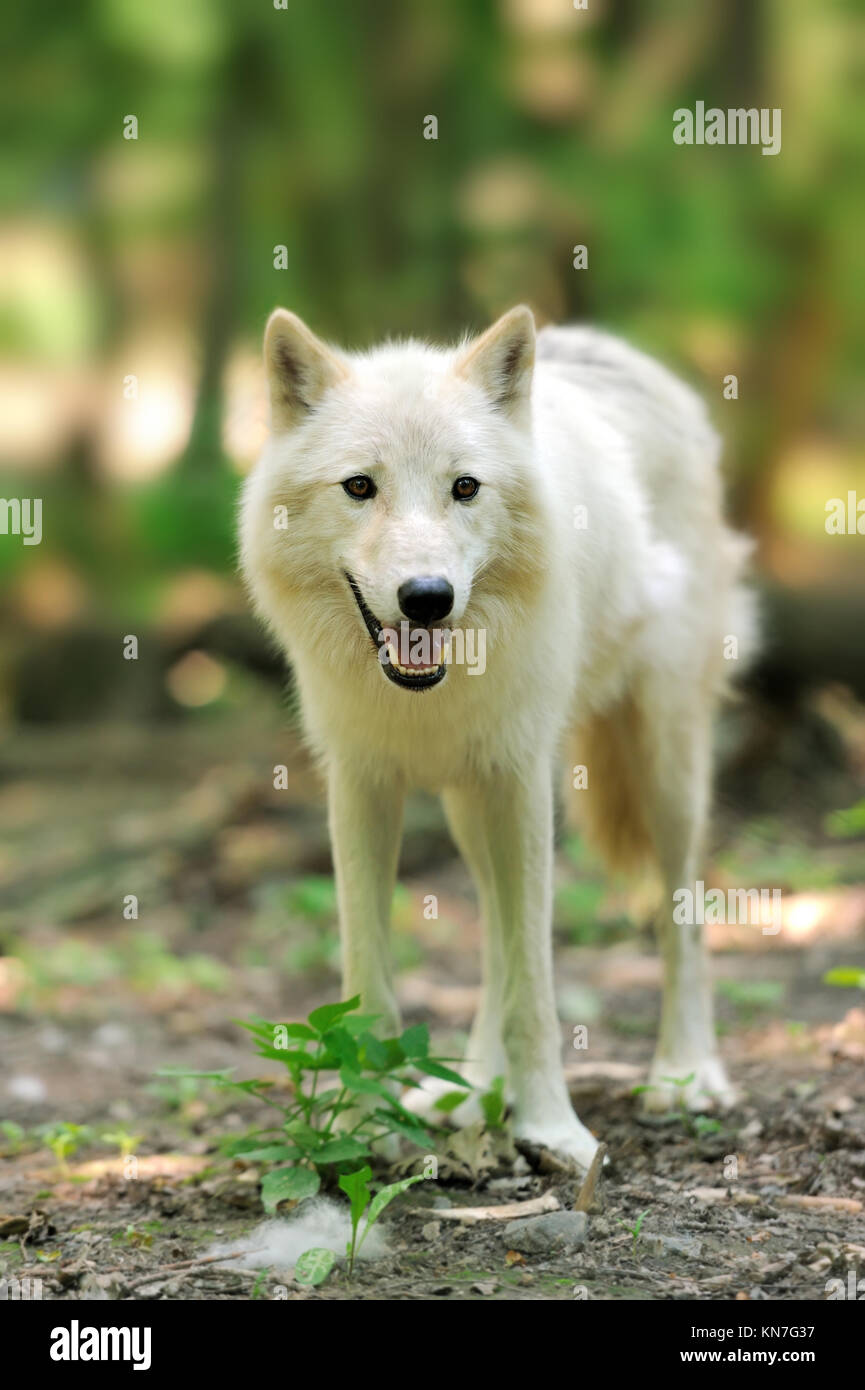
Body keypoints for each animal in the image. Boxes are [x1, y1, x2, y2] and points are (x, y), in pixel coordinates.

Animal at [239, 305, 755, 1171]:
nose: (426, 597)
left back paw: (683, 1076)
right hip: (466, 804)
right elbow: (370, 982)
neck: (426, 696)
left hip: (663, 765)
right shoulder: (360, 784)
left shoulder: (519, 780)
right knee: (490, 937)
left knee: (681, 916)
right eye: (359, 486)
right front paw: (361, 1130)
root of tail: (616, 350)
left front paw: (553, 1130)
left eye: (464, 487)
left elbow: (537, 992)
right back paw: (467, 1091)